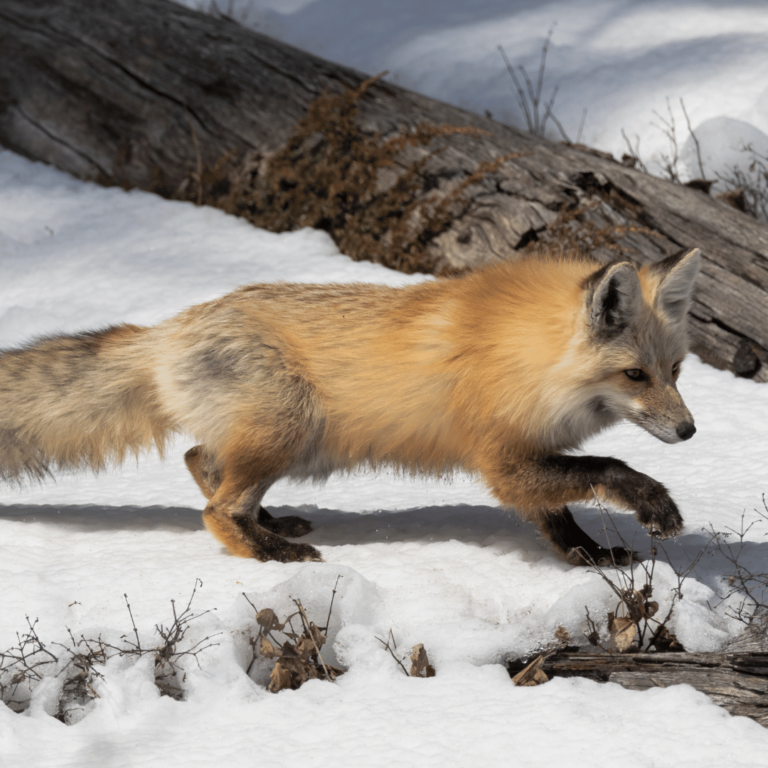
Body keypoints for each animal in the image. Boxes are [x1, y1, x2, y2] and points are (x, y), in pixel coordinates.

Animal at [0, 246, 700, 566]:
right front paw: (654, 505)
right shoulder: (503, 459)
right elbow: (607, 469)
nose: (690, 431)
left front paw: (588, 557)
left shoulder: (526, 456)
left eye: (675, 371)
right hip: (290, 426)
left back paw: (272, 524)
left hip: (283, 440)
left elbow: (558, 518)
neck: (526, 357)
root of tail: (168, 328)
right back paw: (270, 553)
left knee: (200, 460)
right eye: (634, 375)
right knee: (215, 509)